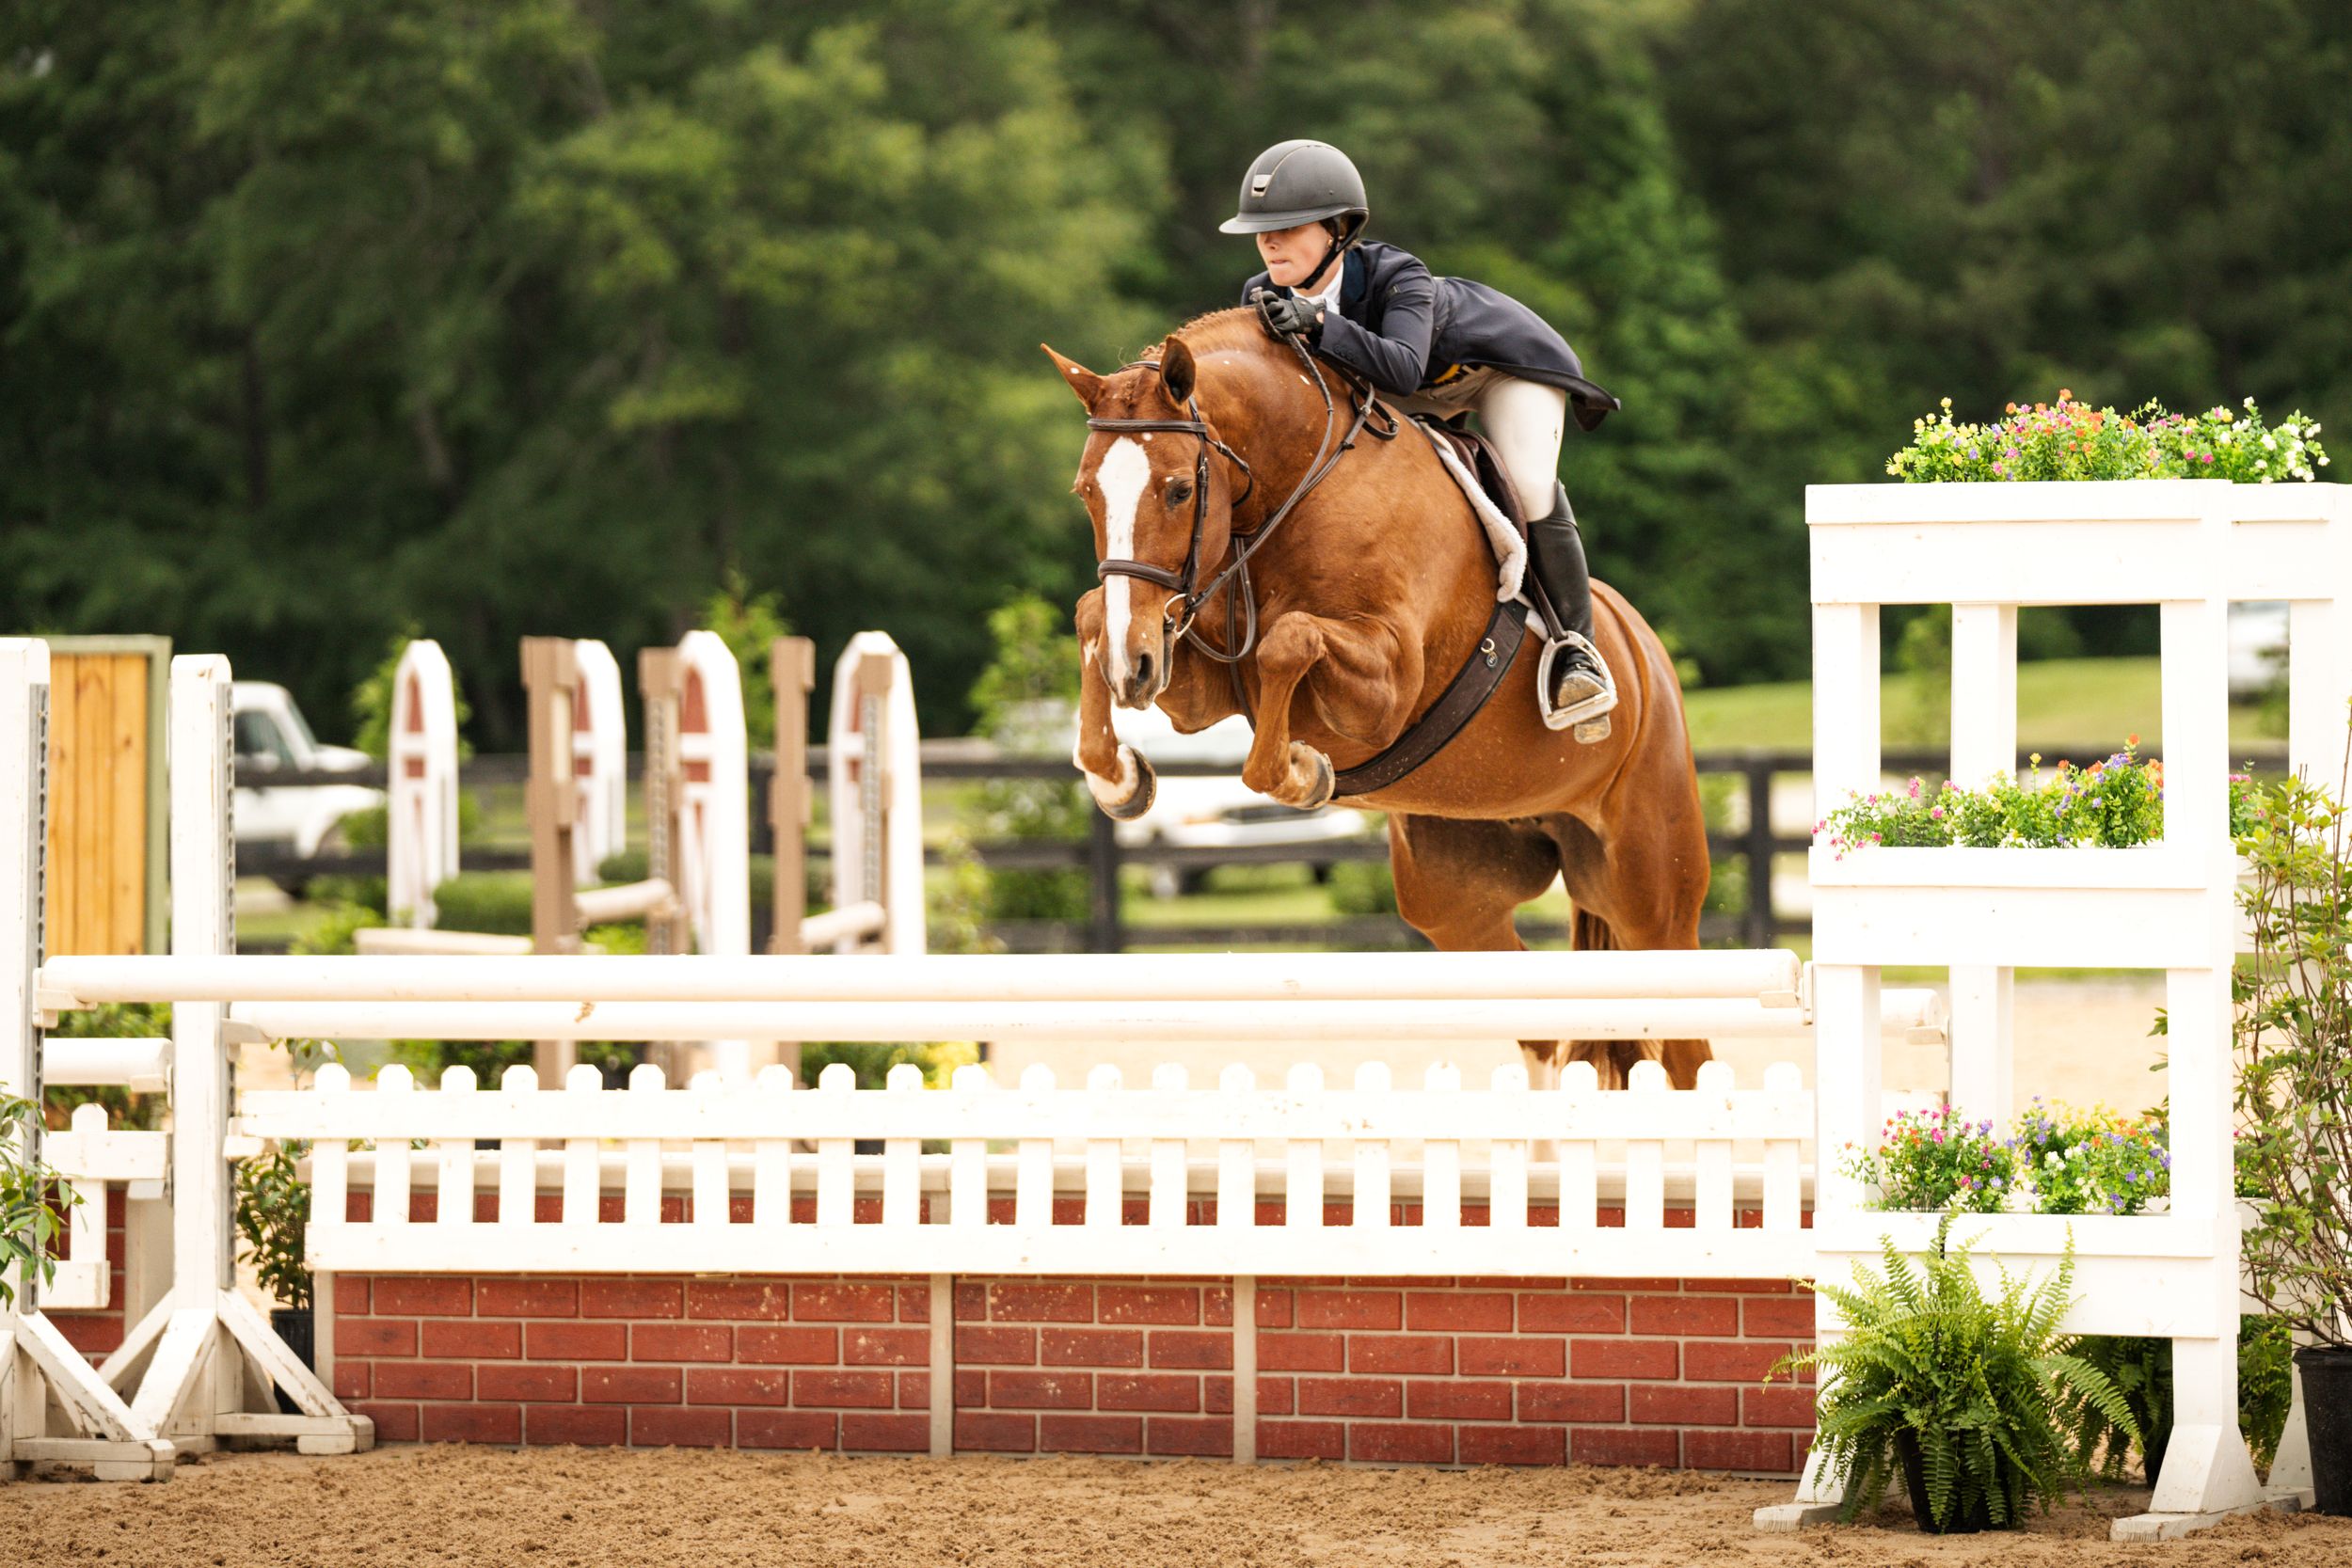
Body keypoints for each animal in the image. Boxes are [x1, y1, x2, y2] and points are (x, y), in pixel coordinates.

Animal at [1043, 309, 1714, 1090]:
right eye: (1085, 492)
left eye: (1179, 489)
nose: (1133, 670)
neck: (1295, 485)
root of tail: (1647, 652)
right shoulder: (1198, 682)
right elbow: (1094, 613)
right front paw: (1118, 778)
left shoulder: (1386, 688)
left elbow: (1289, 644)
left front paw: (1302, 772)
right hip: (1458, 896)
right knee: (1539, 1014)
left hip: (1651, 893)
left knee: (1687, 1042)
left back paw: (1580, 673)